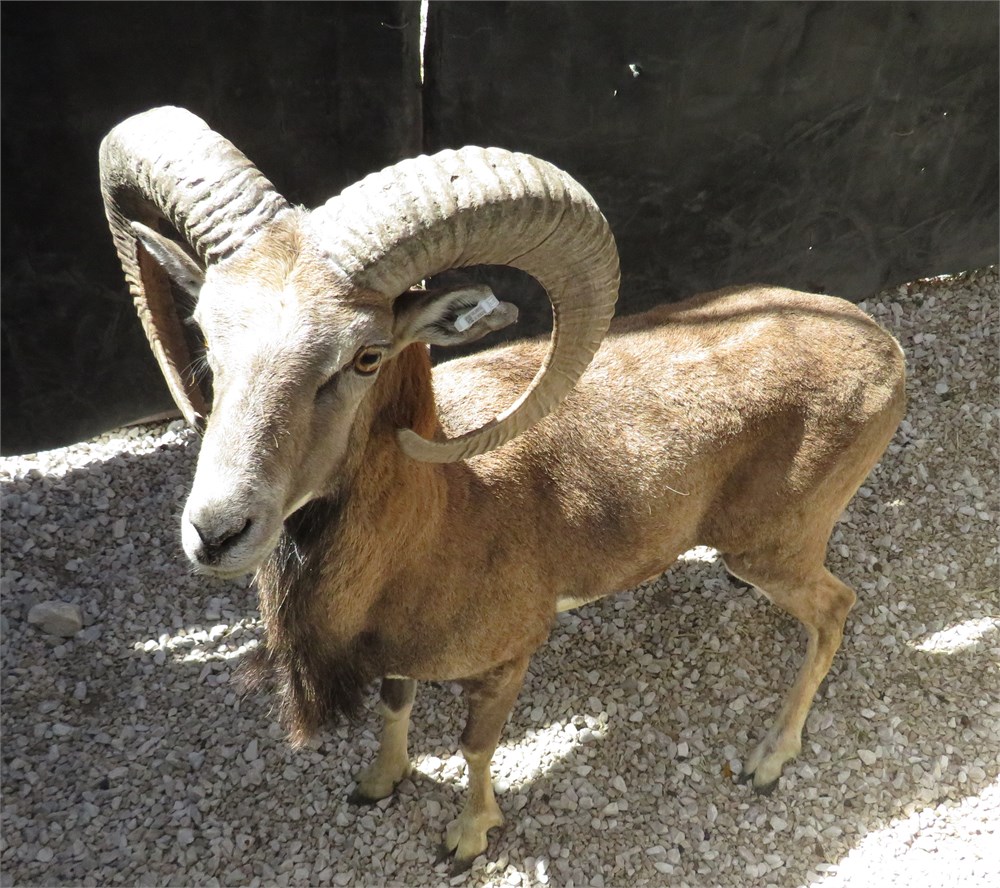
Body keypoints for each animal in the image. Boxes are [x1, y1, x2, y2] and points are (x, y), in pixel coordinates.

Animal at [101, 107, 906, 868]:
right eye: (208, 335)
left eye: (365, 356)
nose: (217, 531)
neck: (450, 512)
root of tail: (886, 354)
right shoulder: (401, 660)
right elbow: (396, 706)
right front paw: (379, 783)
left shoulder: (506, 661)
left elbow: (475, 748)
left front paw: (467, 840)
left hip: (774, 547)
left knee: (835, 609)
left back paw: (770, 757)